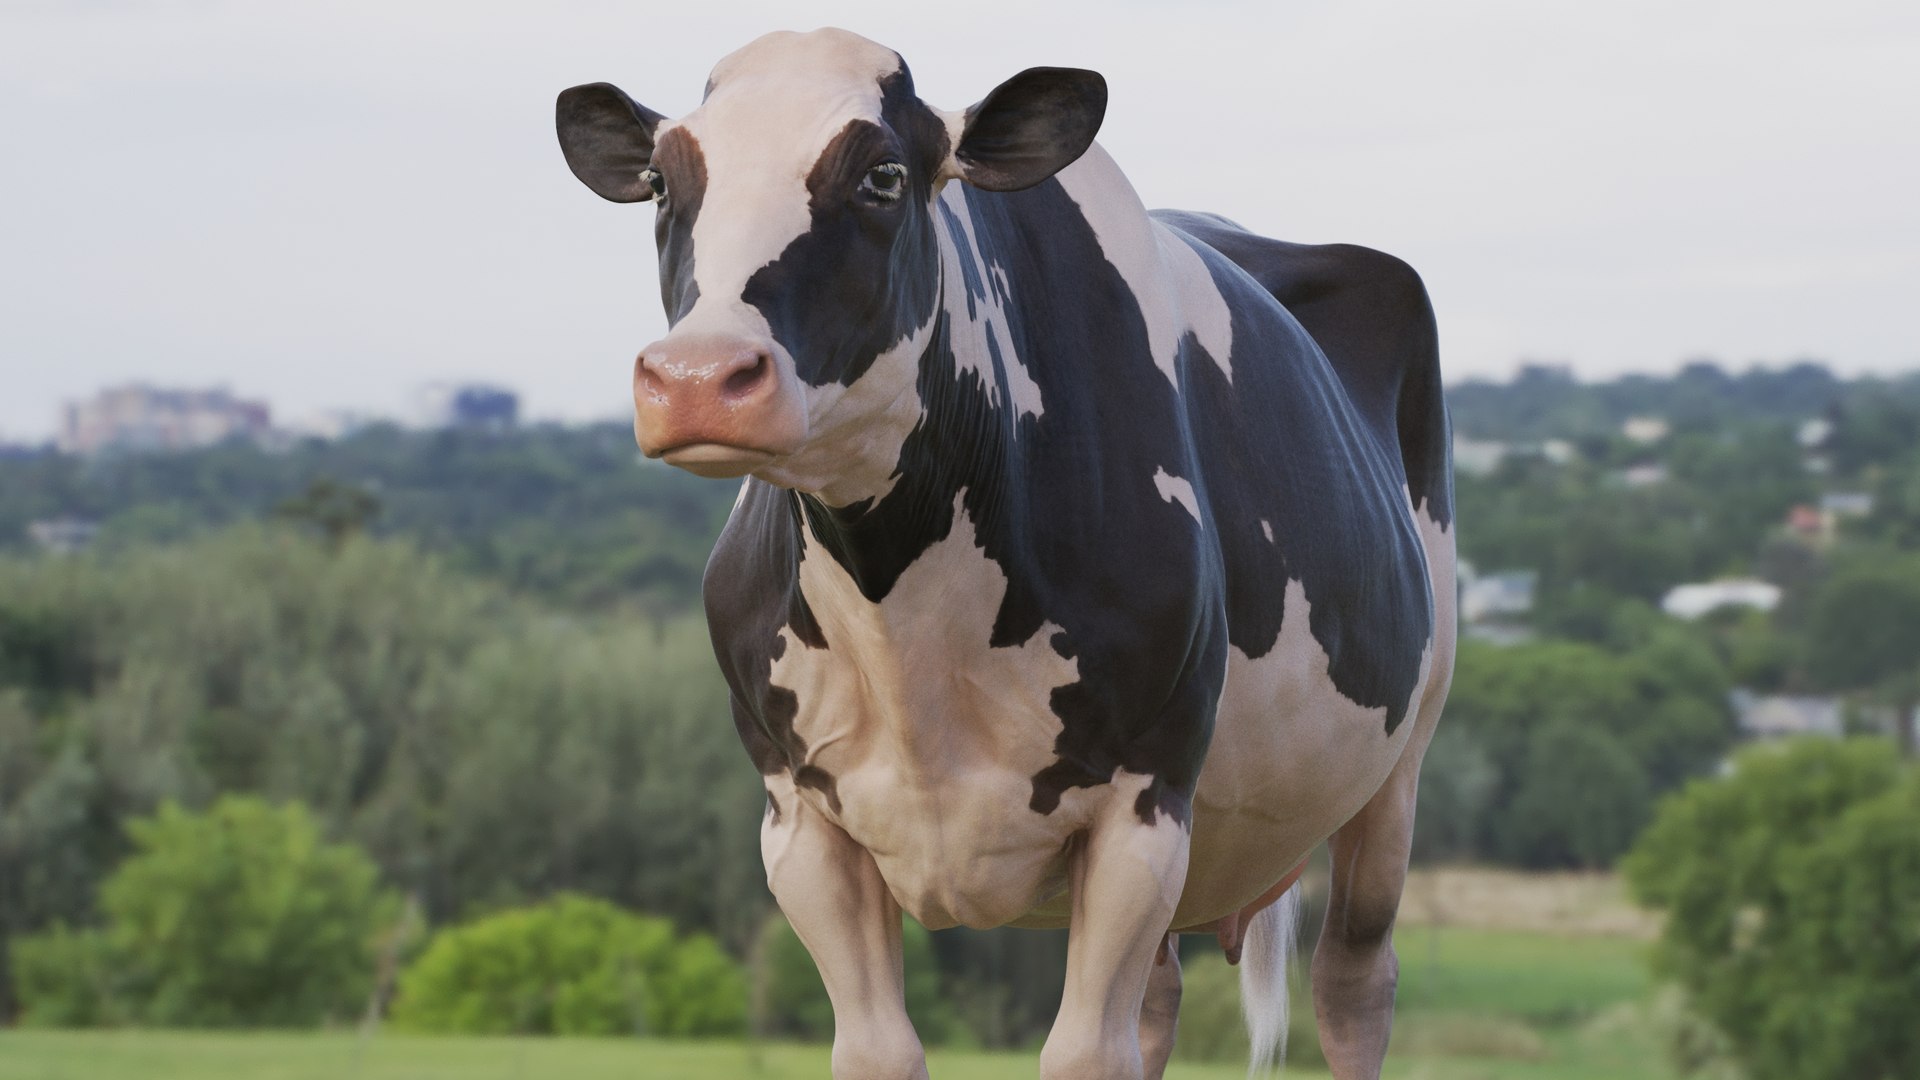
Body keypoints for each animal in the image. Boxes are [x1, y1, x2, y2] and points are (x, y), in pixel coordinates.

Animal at [556, 27, 1455, 1080]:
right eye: (662, 181)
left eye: (884, 176)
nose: (697, 379)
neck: (905, 622)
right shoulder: (799, 818)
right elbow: (882, 1051)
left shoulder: (1145, 800)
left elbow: (1083, 1054)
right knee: (1160, 1000)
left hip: (1399, 768)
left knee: (1353, 983)